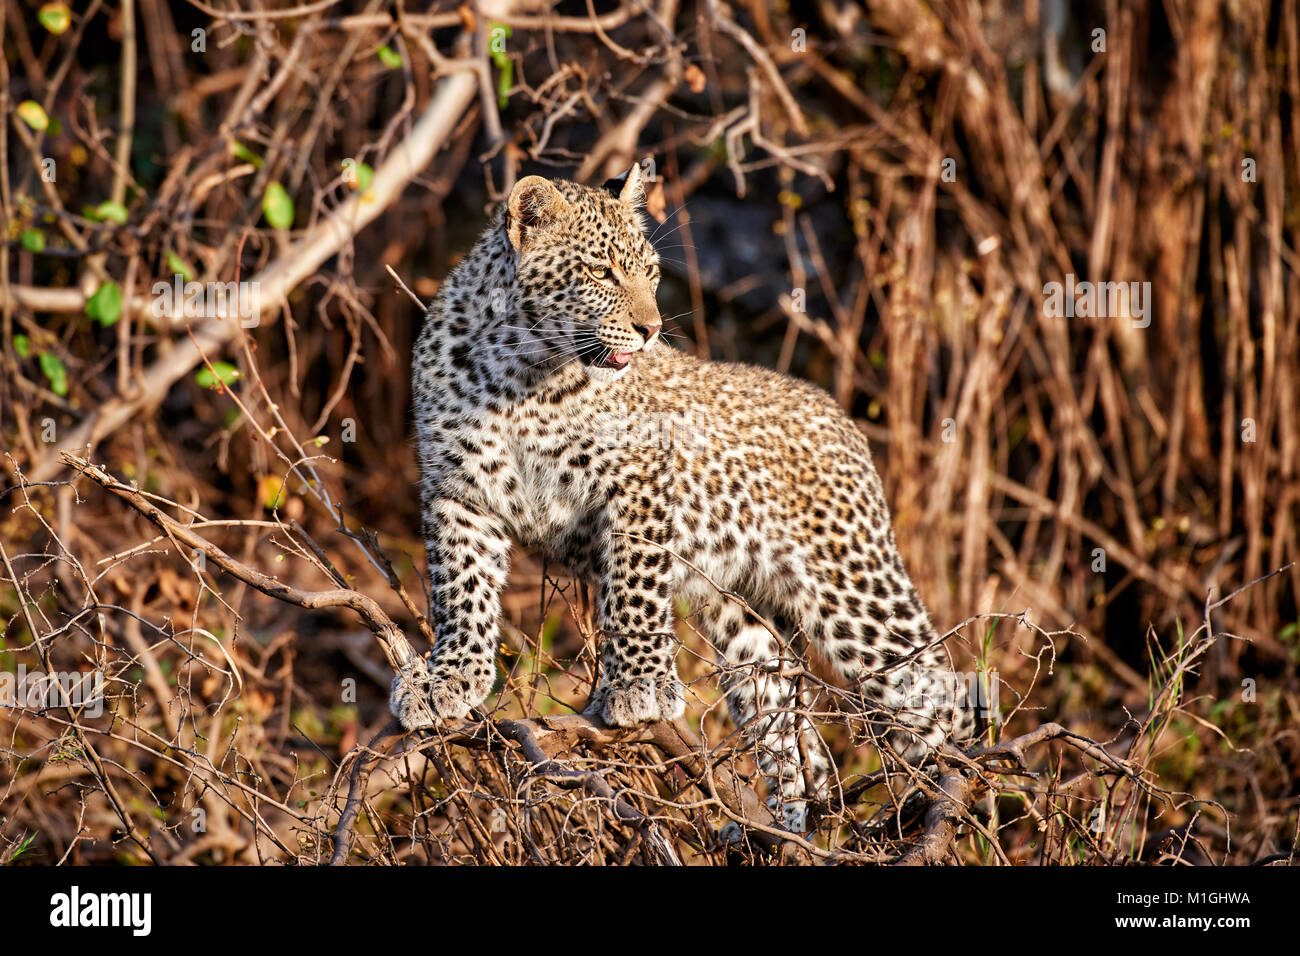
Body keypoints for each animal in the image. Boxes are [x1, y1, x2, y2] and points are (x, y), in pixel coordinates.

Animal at [391, 163, 976, 832]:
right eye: (600, 272)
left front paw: (638, 689)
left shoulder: (640, 480)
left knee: (938, 694)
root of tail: (838, 414)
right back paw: (784, 828)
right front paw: (447, 679)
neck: (520, 371)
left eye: (649, 271)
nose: (649, 331)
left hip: (856, 593)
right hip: (746, 616)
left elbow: (635, 592)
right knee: (789, 727)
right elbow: (460, 594)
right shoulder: (458, 493)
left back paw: (956, 802)